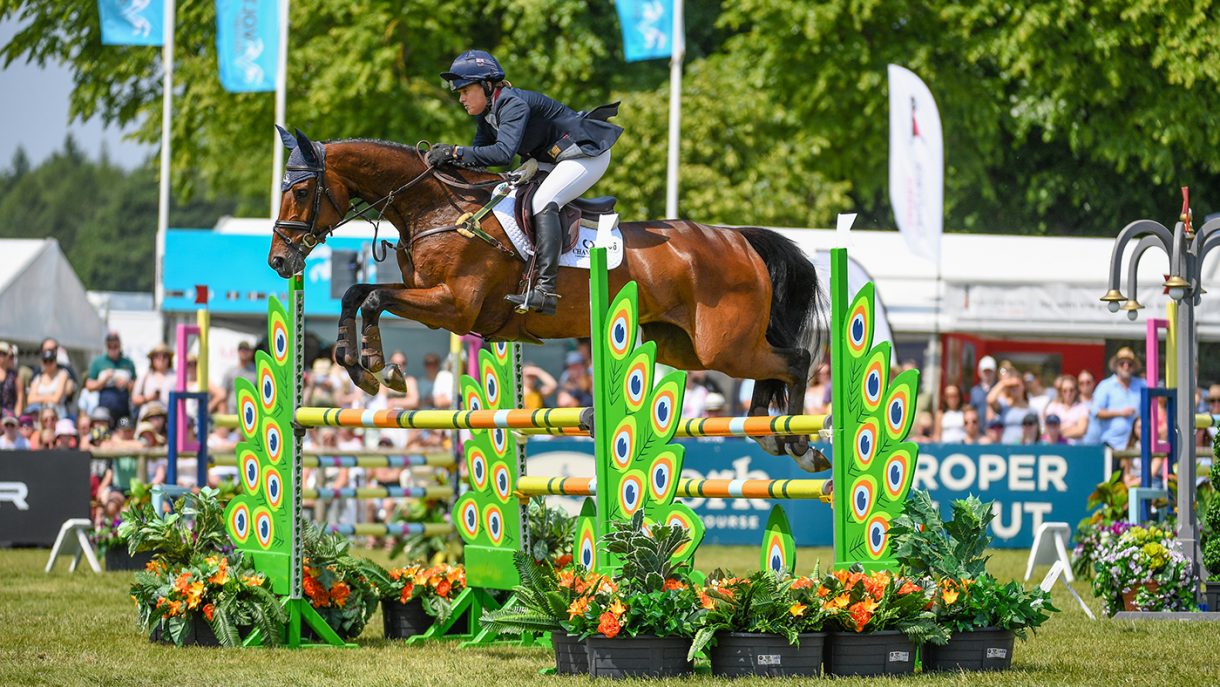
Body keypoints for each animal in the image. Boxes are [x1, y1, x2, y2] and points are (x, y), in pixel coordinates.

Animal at [268, 128, 827, 467]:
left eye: (301, 191)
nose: (279, 262)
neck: (437, 207)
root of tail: (738, 240)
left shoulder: (453, 305)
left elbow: (373, 299)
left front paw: (381, 369)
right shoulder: (432, 298)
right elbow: (357, 292)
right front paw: (356, 364)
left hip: (721, 347)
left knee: (794, 361)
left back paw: (799, 442)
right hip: (682, 347)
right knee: (770, 369)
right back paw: (768, 432)